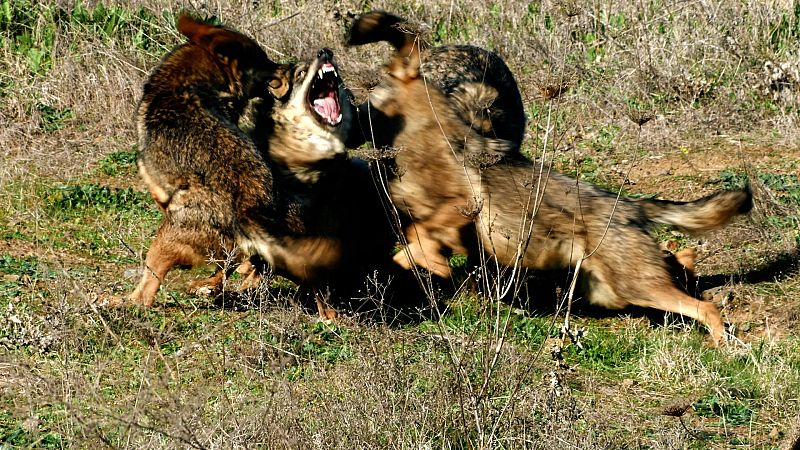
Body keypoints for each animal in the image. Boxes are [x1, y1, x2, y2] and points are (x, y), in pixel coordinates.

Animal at [347, 11, 752, 344]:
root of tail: (630, 207)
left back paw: (723, 344)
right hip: (612, 291)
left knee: (704, 305)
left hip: (635, 286)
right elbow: (413, 247)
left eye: (363, 99)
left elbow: (416, 244)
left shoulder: (461, 207)